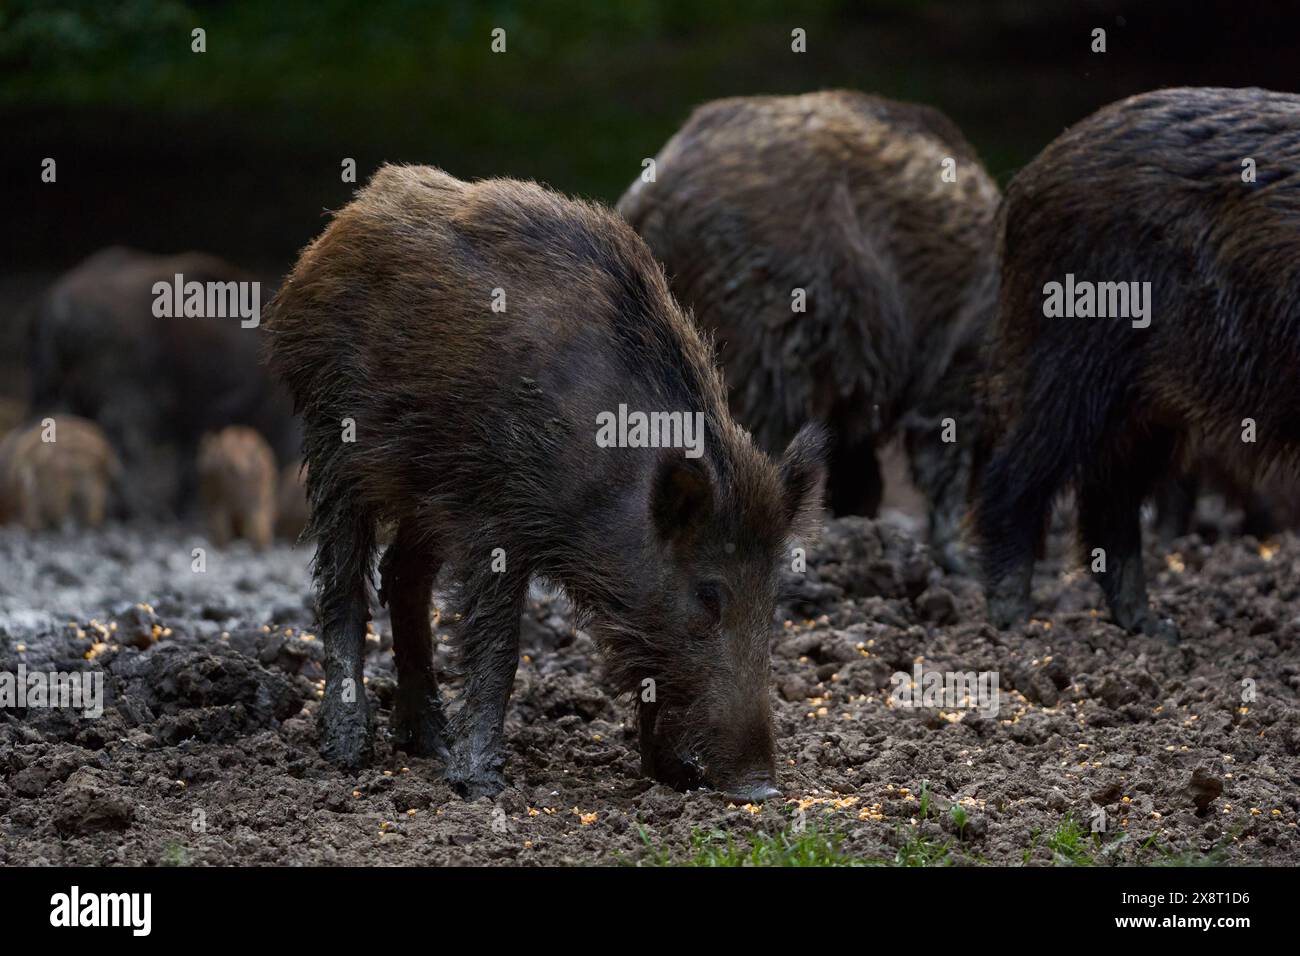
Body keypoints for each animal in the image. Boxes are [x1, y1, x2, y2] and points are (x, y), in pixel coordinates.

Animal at [265, 164, 827, 800]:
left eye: (774, 596)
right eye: (710, 594)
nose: (762, 787)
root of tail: (332, 235)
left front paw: (671, 777)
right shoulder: (495, 520)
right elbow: (499, 648)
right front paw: (481, 786)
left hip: (427, 489)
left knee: (403, 577)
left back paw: (428, 744)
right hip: (332, 437)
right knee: (343, 584)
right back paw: (349, 751)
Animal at [974, 87, 1300, 638]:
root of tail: (1026, 182)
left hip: (1151, 403)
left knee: (1108, 500)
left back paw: (1152, 628)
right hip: (1072, 364)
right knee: (1015, 475)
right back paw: (1015, 623)